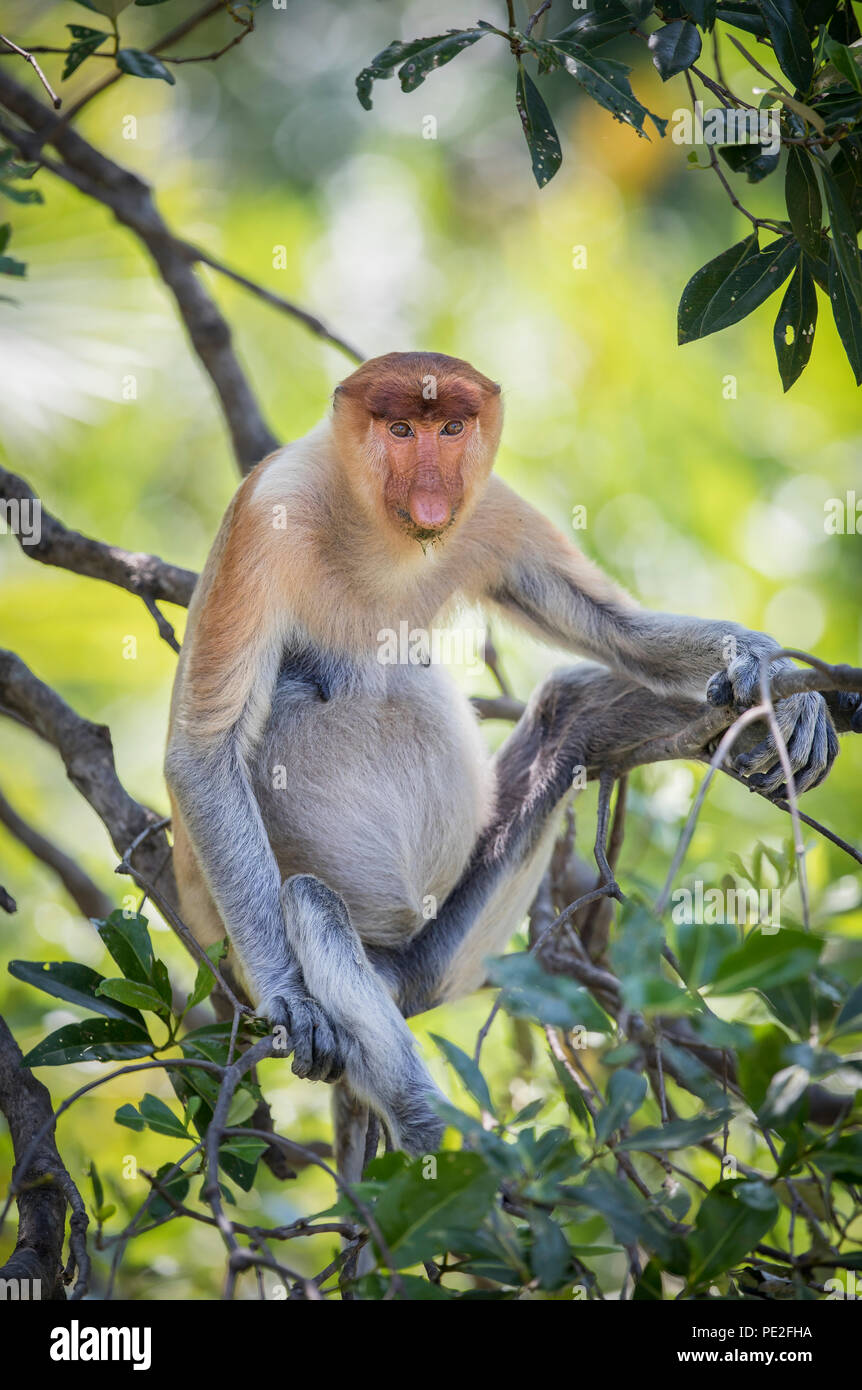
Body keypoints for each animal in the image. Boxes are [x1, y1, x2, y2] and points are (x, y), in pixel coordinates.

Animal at [165, 350, 839, 1159]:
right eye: (400, 430)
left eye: (452, 429)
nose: (432, 490)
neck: (383, 539)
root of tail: (395, 970)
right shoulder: (271, 513)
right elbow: (205, 750)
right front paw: (292, 1003)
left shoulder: (489, 508)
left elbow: (618, 629)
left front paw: (772, 679)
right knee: (309, 900)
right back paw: (441, 1144)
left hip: (446, 955)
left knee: (568, 712)